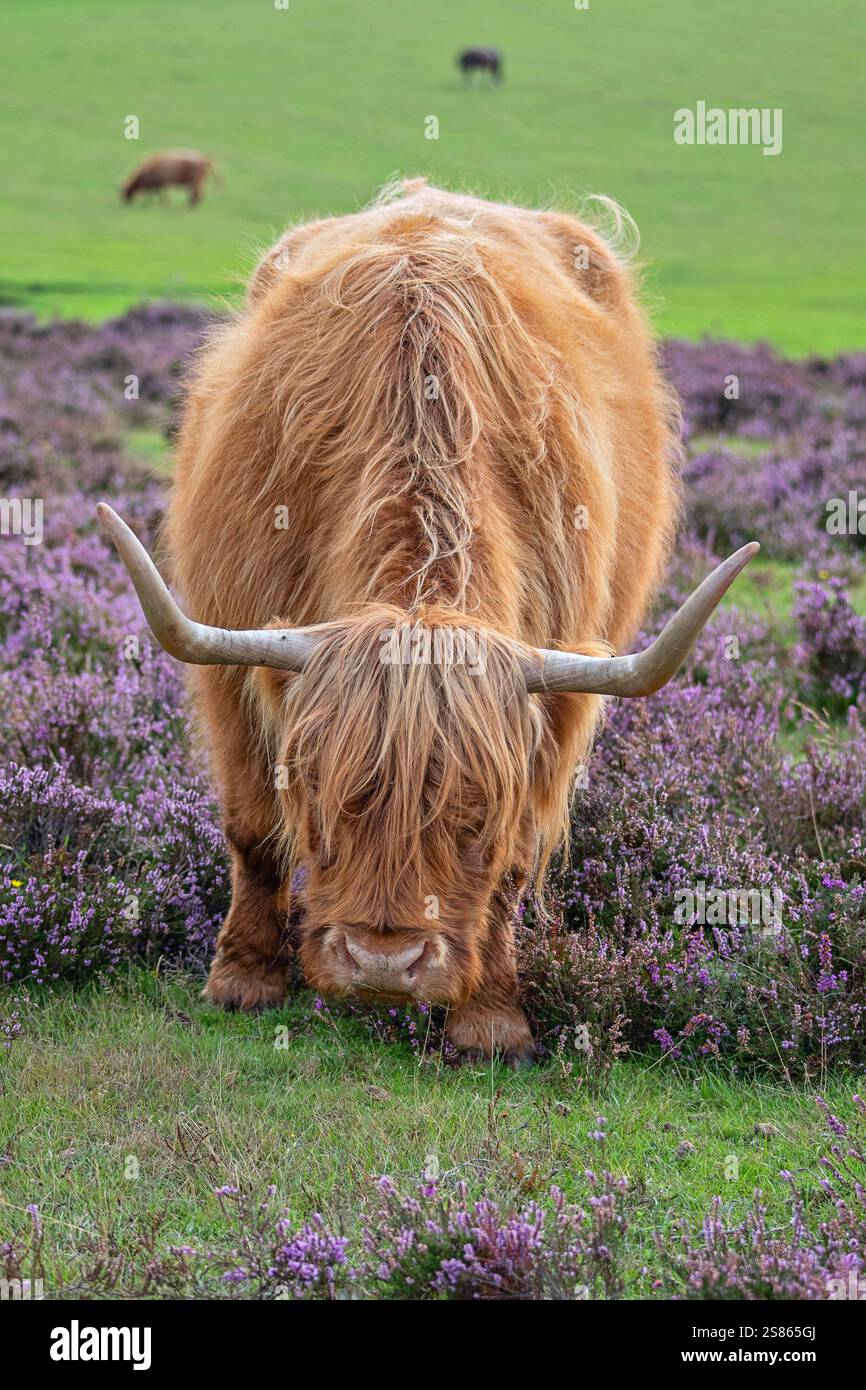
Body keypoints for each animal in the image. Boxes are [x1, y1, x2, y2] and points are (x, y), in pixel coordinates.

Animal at [99, 180, 757, 1066]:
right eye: (322, 790)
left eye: (473, 810)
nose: (384, 962)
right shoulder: (227, 655)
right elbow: (253, 827)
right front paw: (242, 978)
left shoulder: (557, 700)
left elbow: (514, 863)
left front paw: (492, 1021)